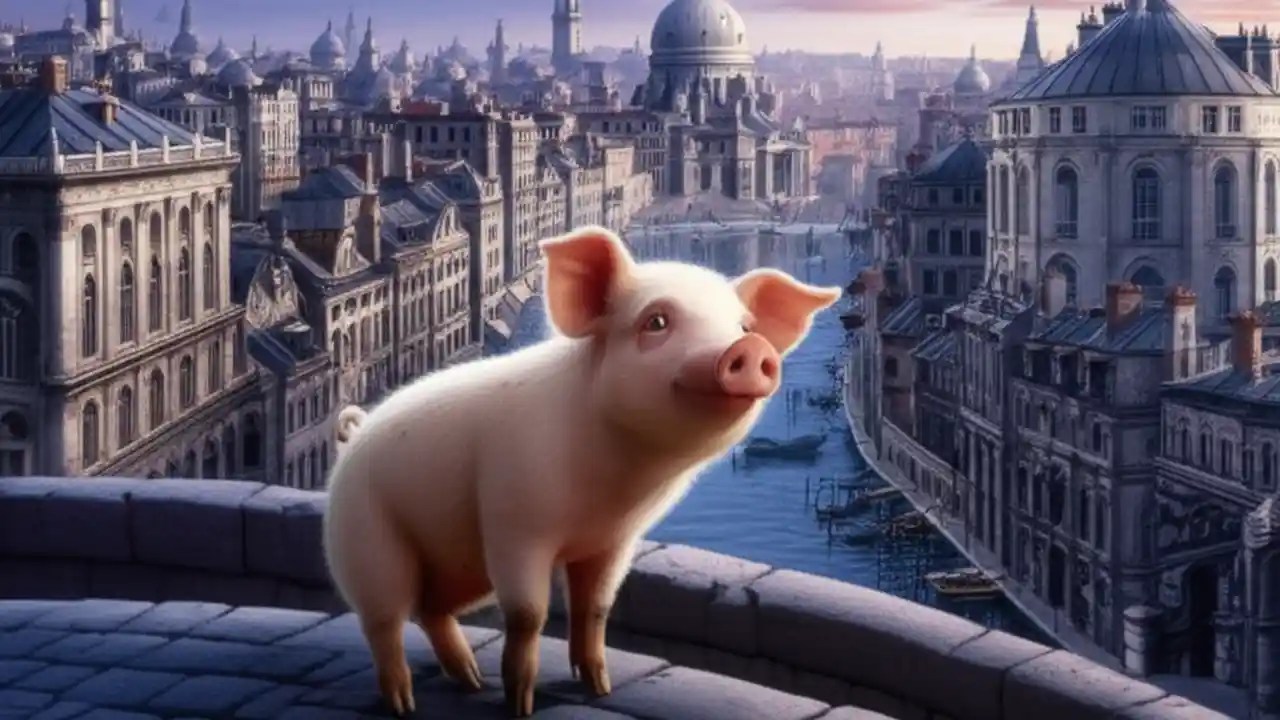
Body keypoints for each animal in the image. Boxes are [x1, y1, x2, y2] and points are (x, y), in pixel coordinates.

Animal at [323, 226, 841, 717]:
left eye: (744, 324)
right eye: (656, 321)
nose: (749, 346)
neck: (613, 484)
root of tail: (356, 433)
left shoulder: (614, 540)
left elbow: (595, 608)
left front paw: (599, 687)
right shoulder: (512, 522)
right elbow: (528, 615)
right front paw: (520, 706)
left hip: (461, 567)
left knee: (431, 610)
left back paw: (470, 679)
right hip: (369, 538)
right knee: (384, 620)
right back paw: (404, 703)